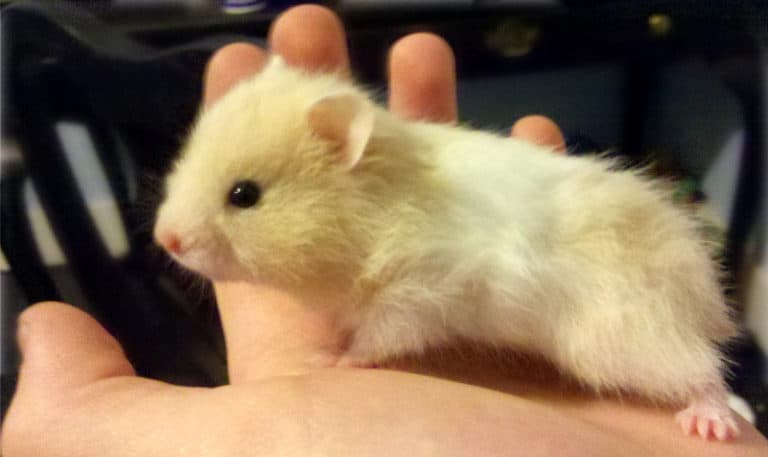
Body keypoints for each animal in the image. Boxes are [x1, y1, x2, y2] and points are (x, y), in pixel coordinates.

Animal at [154, 56, 740, 440]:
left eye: (244, 195)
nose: (165, 238)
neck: (368, 213)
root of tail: (700, 287)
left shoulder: (419, 292)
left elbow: (375, 340)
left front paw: (331, 358)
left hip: (619, 336)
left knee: (701, 368)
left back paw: (710, 424)